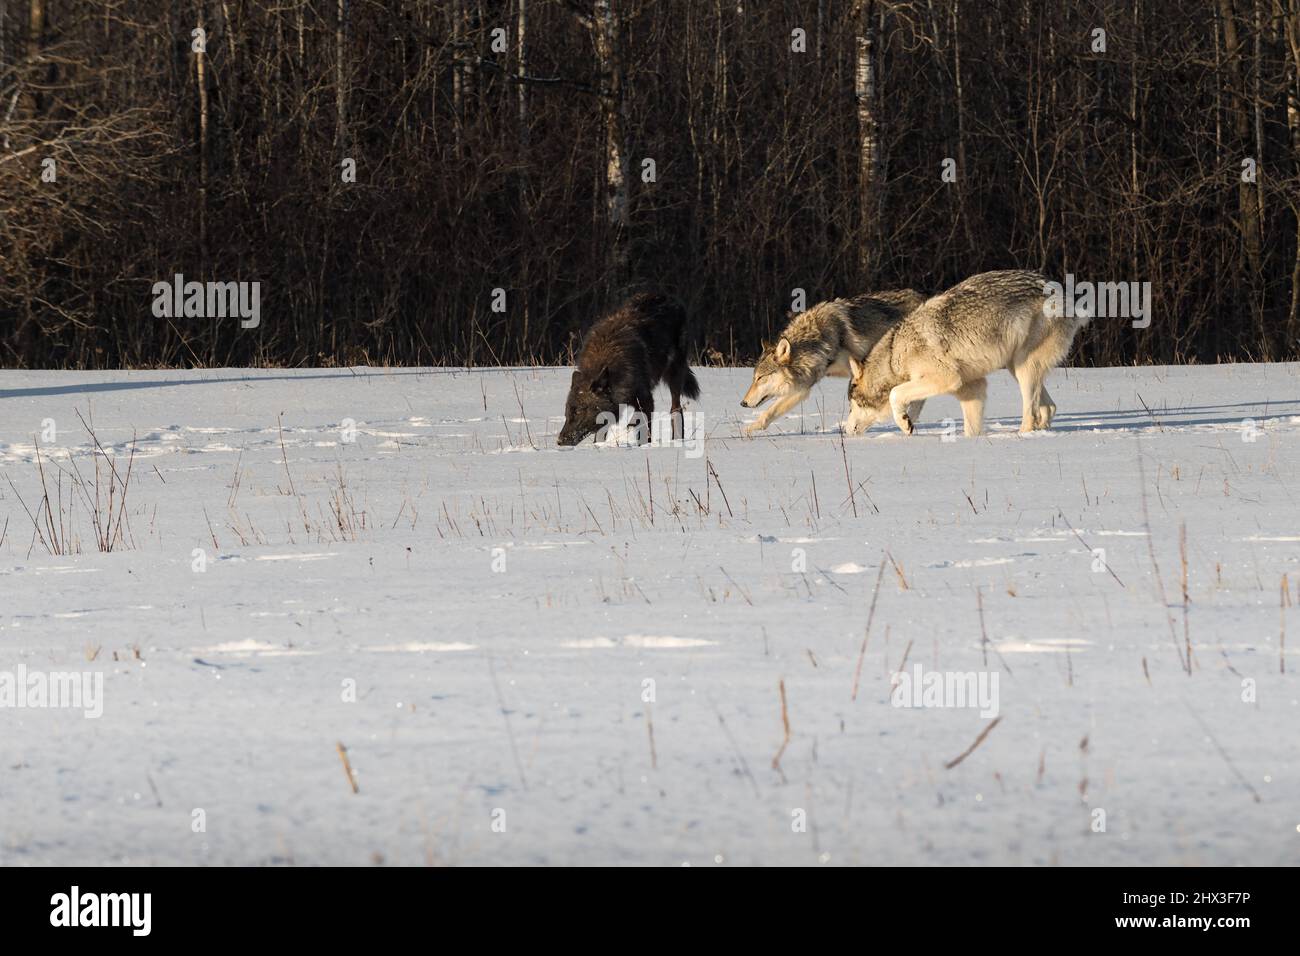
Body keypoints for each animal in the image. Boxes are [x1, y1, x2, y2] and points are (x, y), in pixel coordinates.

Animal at [557, 292, 700, 446]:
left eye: (579, 412)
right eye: (567, 412)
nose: (559, 441)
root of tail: (667, 296)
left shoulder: (646, 401)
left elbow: (644, 433)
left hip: (675, 376)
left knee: (676, 409)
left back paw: (677, 440)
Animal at [740, 289, 927, 435]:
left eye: (760, 378)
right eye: (754, 378)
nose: (743, 403)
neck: (819, 340)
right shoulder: (804, 386)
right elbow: (769, 413)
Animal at [844, 269, 1091, 438]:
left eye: (851, 405)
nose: (846, 430)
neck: (895, 355)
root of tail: (1067, 296)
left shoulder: (946, 378)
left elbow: (896, 394)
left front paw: (905, 423)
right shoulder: (973, 388)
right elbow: (971, 428)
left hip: (1023, 368)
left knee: (1031, 414)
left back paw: (1020, 436)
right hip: (1016, 367)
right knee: (1048, 408)